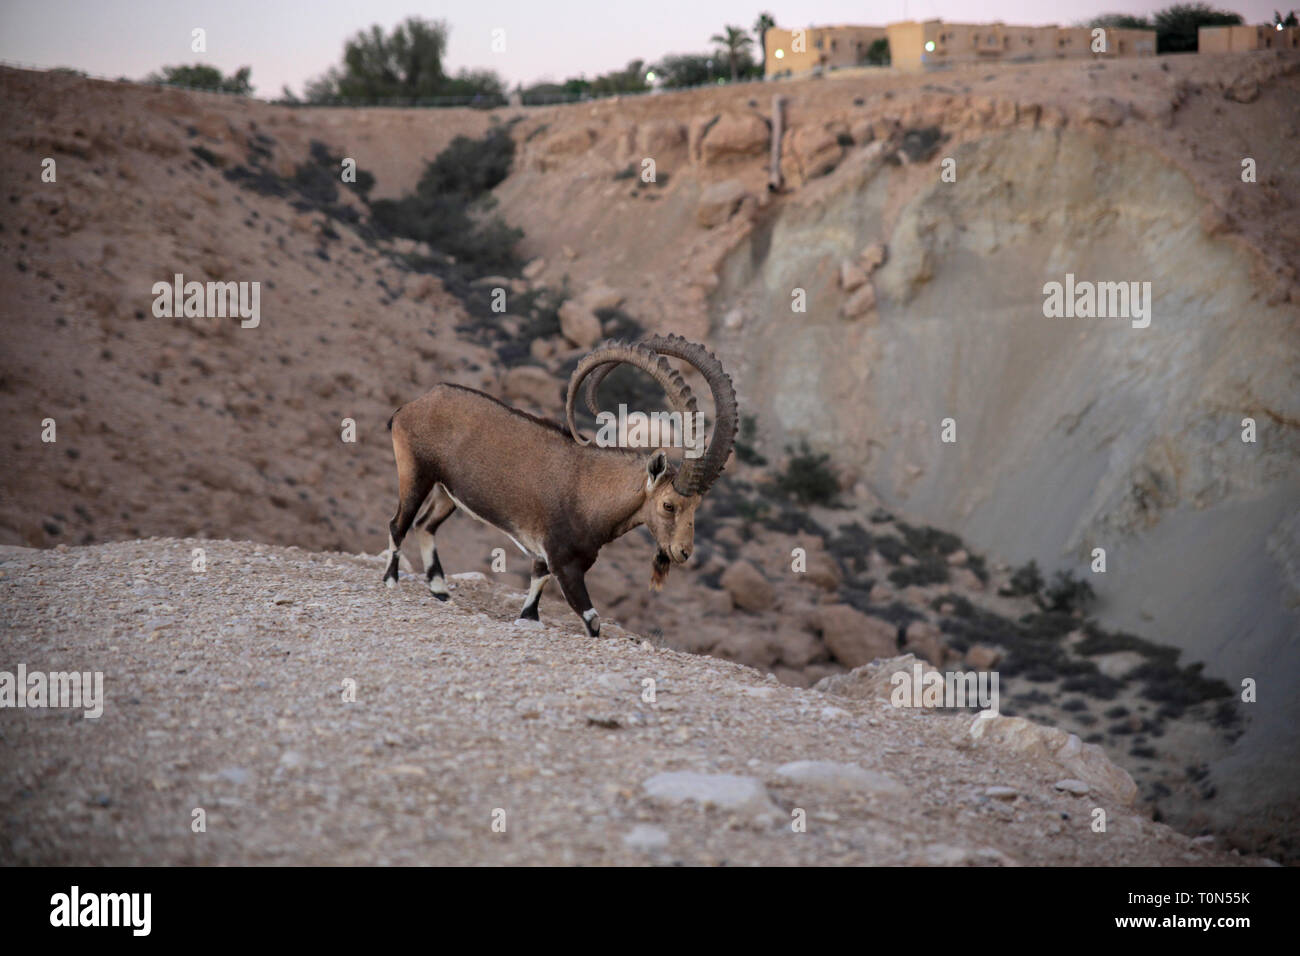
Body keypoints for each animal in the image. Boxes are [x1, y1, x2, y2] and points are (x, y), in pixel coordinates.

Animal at [383, 335, 738, 636]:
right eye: (668, 504)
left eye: (696, 507)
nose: (683, 552)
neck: (592, 493)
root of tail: (417, 403)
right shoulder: (566, 565)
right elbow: (593, 621)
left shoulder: (543, 559)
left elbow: (534, 596)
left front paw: (528, 617)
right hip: (414, 471)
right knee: (399, 523)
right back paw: (391, 581)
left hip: (447, 492)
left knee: (425, 525)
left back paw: (440, 591)